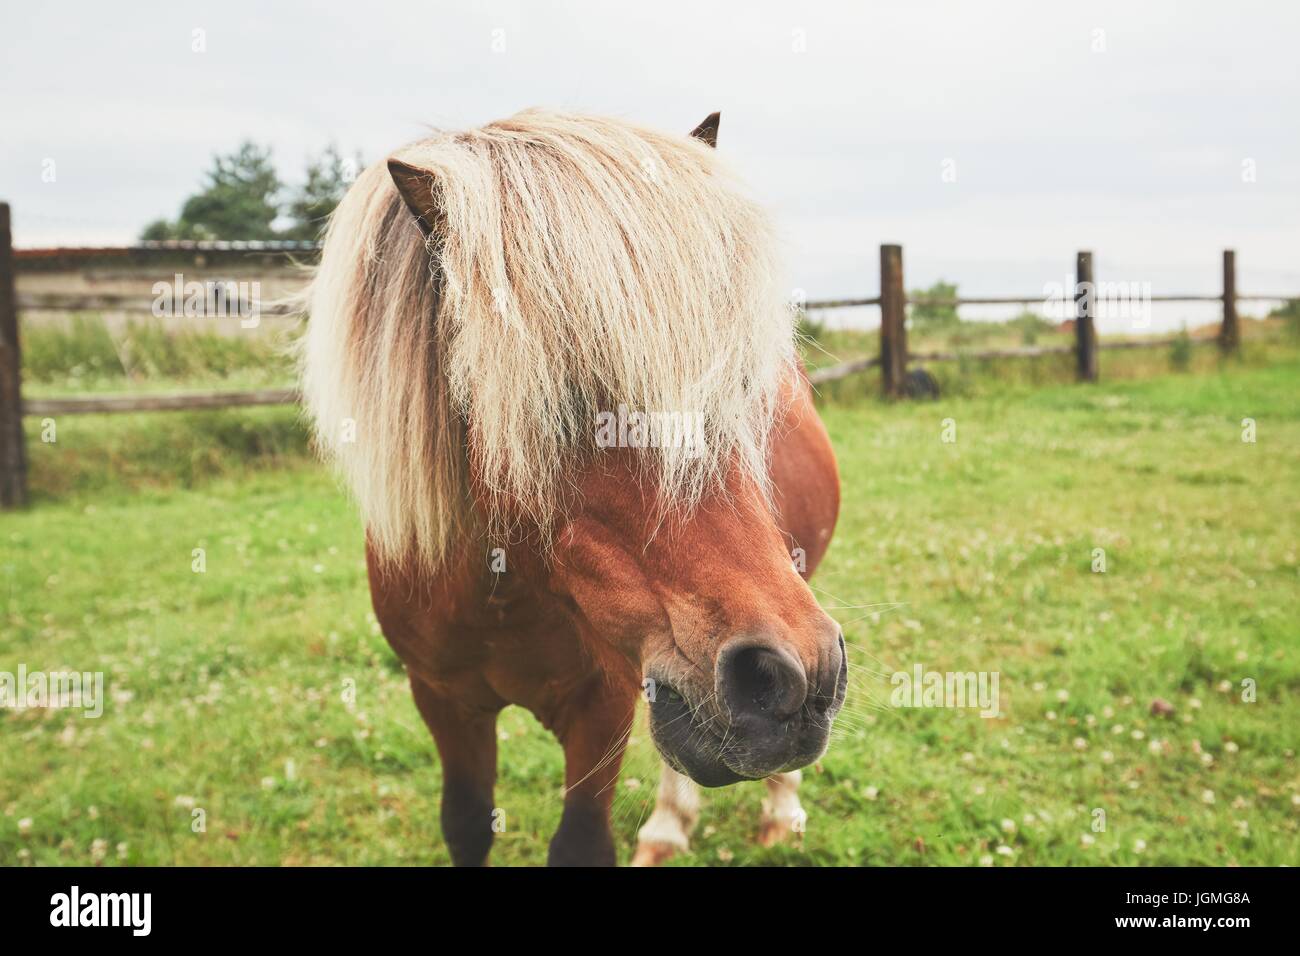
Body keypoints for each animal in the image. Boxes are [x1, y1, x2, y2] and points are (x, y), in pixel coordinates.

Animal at [301, 108, 844, 866]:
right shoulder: (442, 701)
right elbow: (466, 824)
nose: (792, 678)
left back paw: (772, 812)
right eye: (556, 399)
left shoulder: (604, 708)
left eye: (739, 387)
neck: (503, 594)